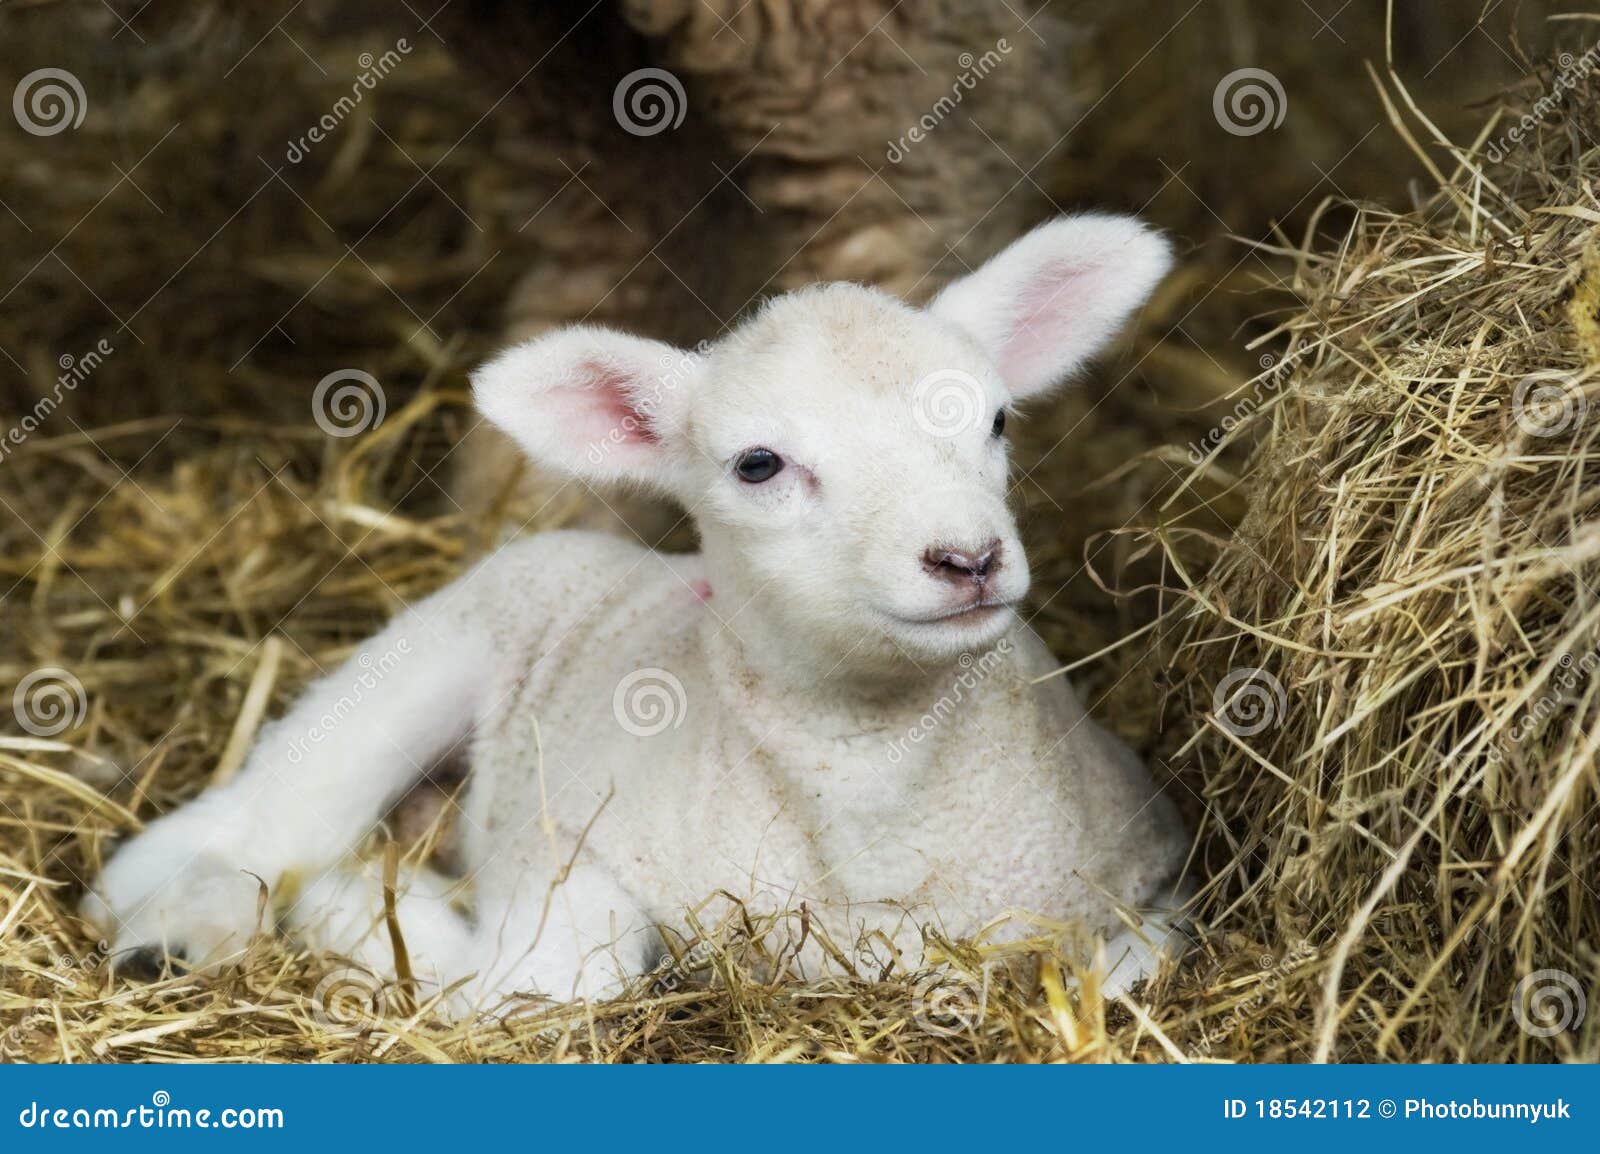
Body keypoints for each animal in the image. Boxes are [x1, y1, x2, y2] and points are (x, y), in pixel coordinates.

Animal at [82, 214, 1191, 1017]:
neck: (873, 798)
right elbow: (557, 981)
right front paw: (365, 912)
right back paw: (172, 929)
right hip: (420, 662)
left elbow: (1139, 962)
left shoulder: (1154, 863)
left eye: (996, 419)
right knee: (250, 821)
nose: (966, 557)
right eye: (757, 463)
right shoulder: (575, 844)